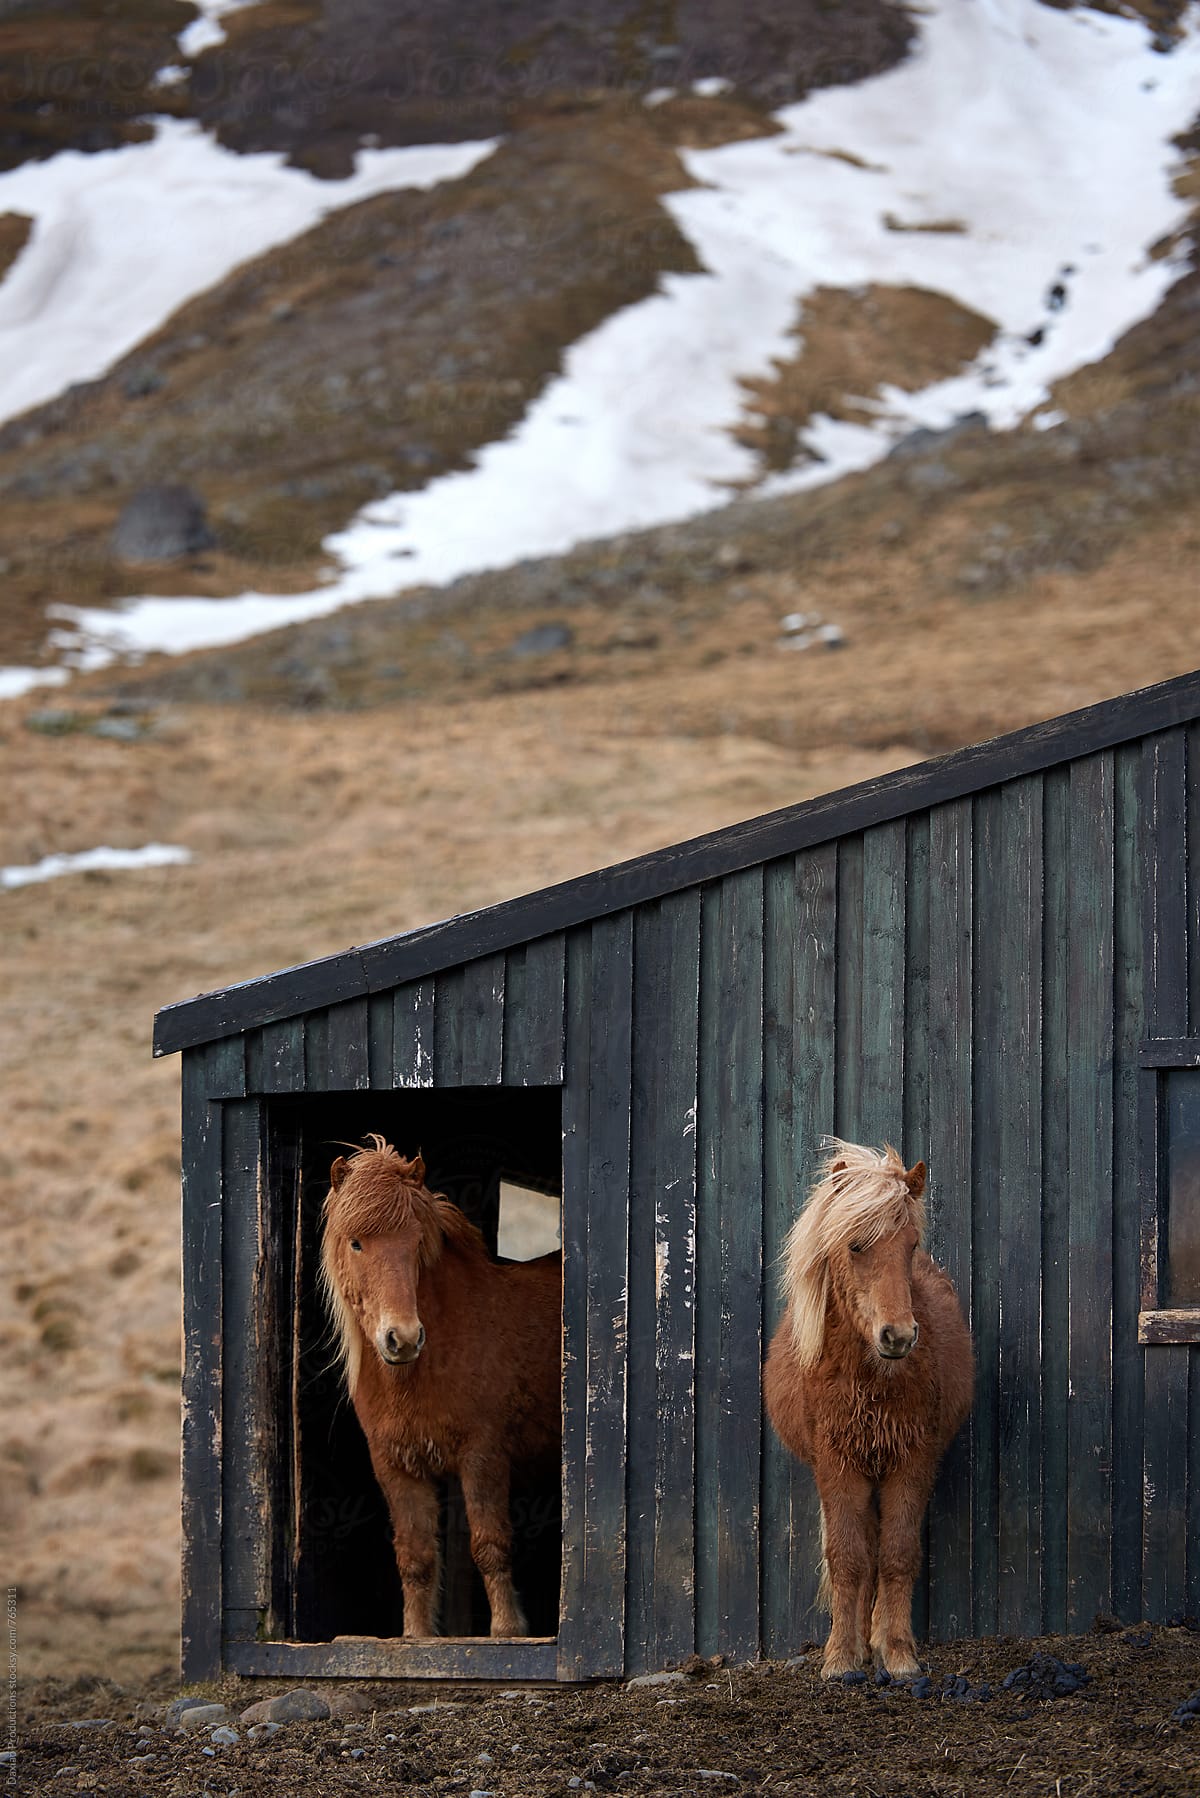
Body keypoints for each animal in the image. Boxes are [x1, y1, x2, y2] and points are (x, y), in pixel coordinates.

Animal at [319, 1137, 561, 1638]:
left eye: (415, 1244)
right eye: (356, 1242)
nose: (403, 1338)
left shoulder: (483, 1455)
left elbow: (490, 1544)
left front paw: (508, 1631)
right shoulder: (396, 1467)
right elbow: (415, 1556)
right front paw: (416, 1635)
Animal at [763, 1139, 973, 1679]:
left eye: (912, 1246)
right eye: (855, 1246)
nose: (898, 1336)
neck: (870, 1381)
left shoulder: (913, 1463)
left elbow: (896, 1555)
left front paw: (897, 1653)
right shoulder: (837, 1467)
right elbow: (848, 1558)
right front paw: (841, 1657)